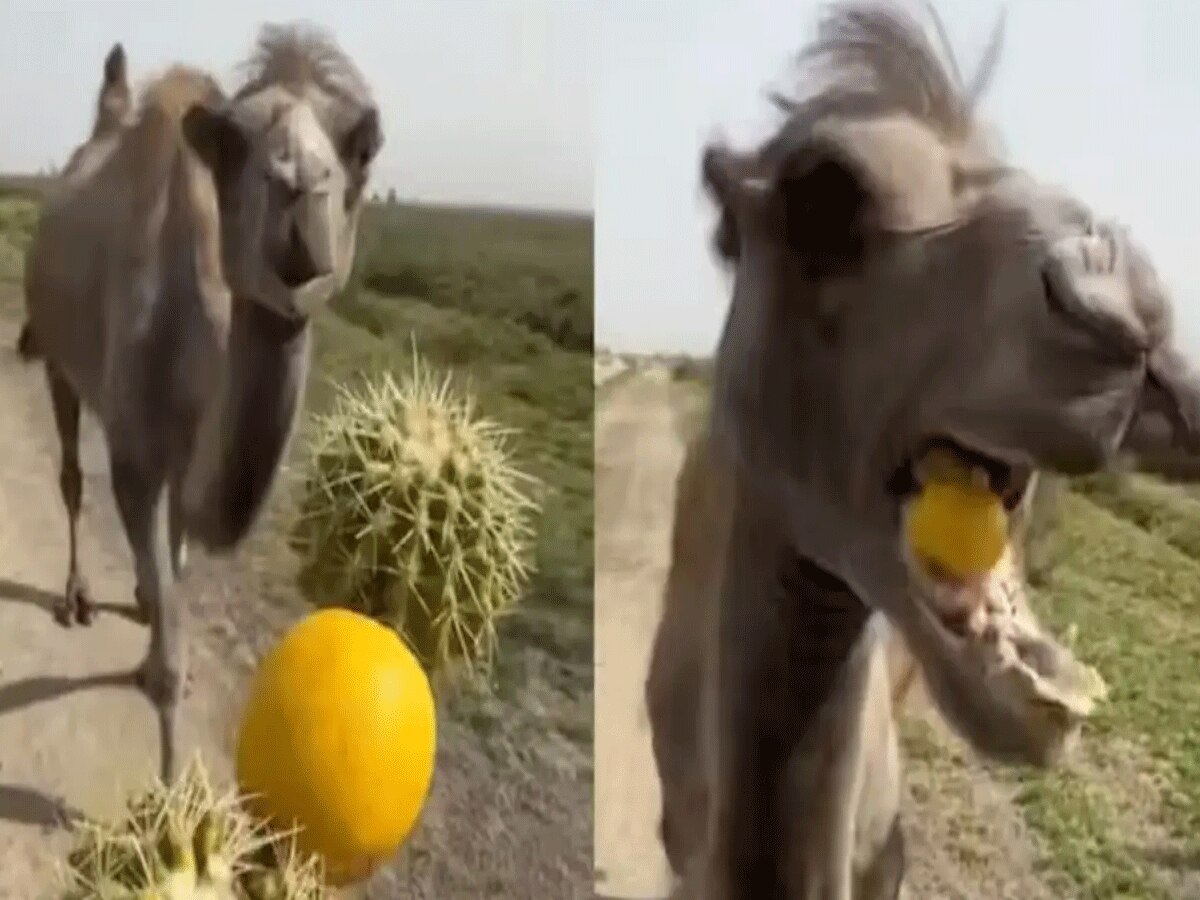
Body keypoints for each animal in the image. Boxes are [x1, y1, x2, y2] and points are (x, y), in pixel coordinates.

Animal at [19, 24, 383, 783]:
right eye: (232, 141)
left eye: (362, 145)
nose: (301, 187)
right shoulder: (135, 458)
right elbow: (168, 656)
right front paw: (169, 796)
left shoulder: (188, 455)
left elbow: (179, 561)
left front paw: (153, 610)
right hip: (59, 358)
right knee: (70, 474)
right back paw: (77, 596)